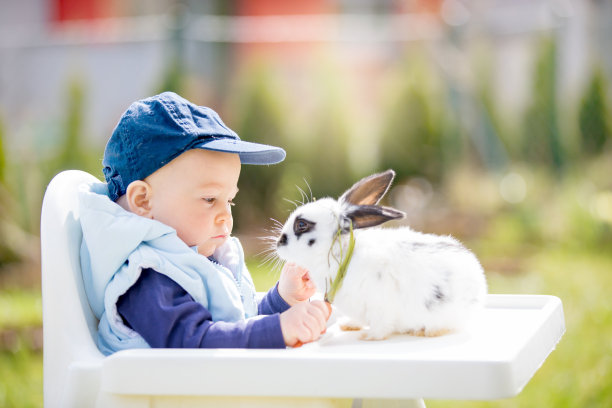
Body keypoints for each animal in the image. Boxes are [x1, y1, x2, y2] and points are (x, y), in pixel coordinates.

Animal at [274, 170, 486, 342]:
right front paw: (349, 325)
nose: (278, 243)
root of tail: (480, 283)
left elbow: (381, 325)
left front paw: (369, 337)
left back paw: (427, 331)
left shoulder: (380, 304)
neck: (341, 256)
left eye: (302, 224)